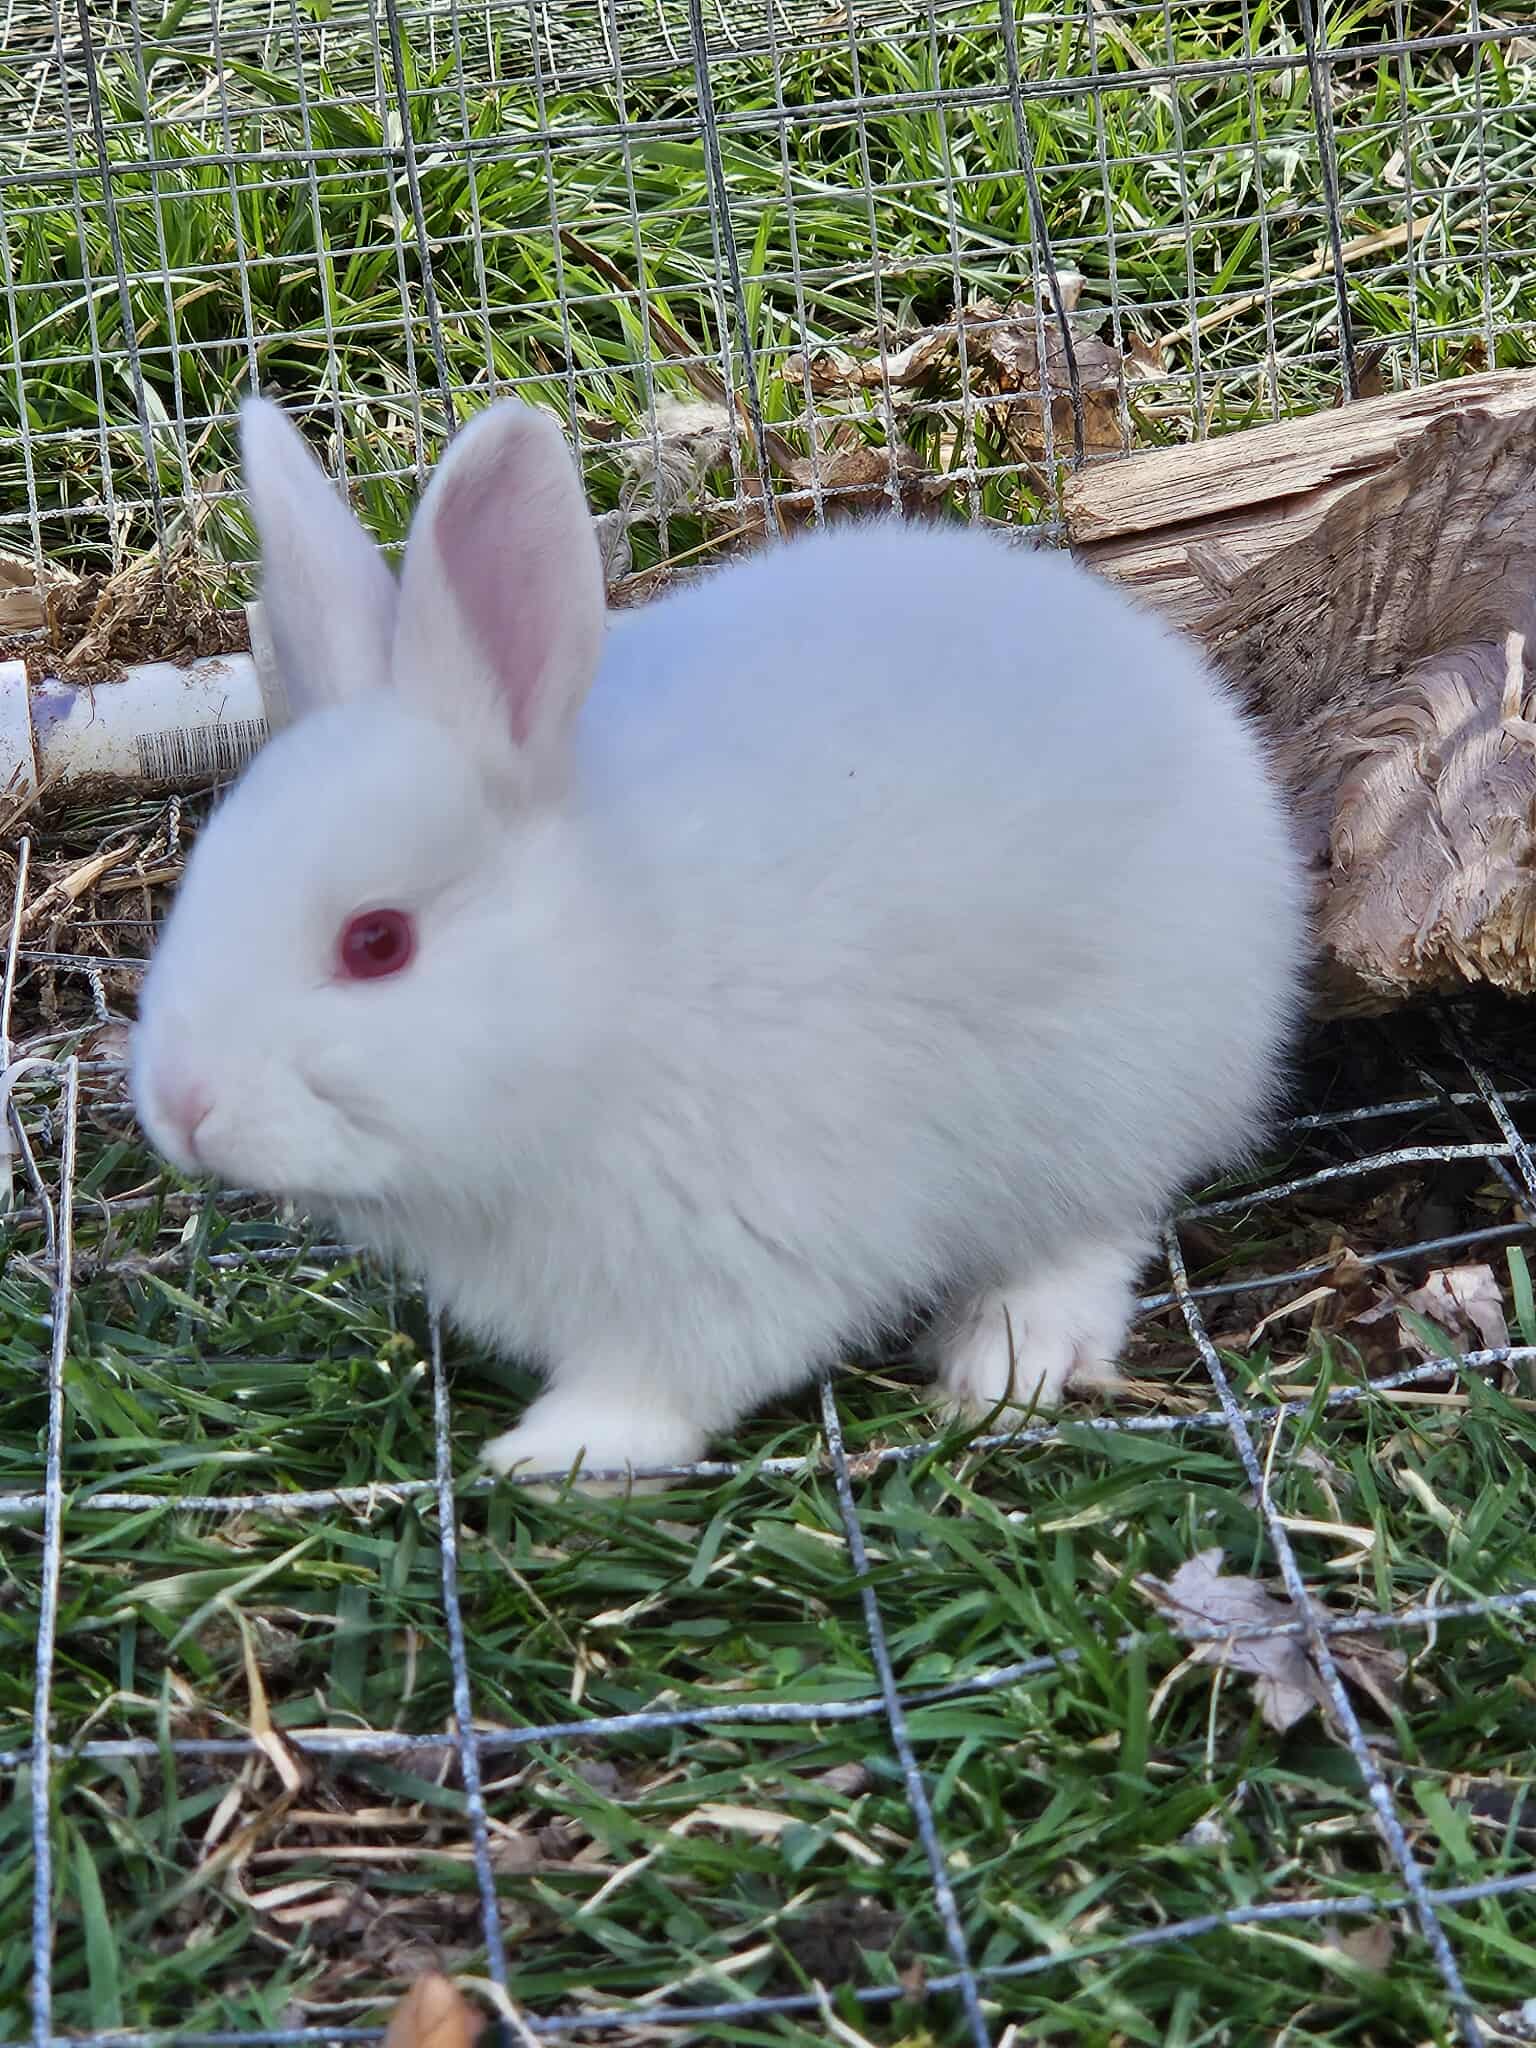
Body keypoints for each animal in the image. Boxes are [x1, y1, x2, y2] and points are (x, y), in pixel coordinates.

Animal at [131, 396, 1308, 1482]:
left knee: (1096, 1232)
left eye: (376, 943)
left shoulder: (742, 1247)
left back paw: (1006, 1360)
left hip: (1103, 1096)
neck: (608, 978)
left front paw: (553, 1452)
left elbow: (674, 1378)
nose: (184, 1110)